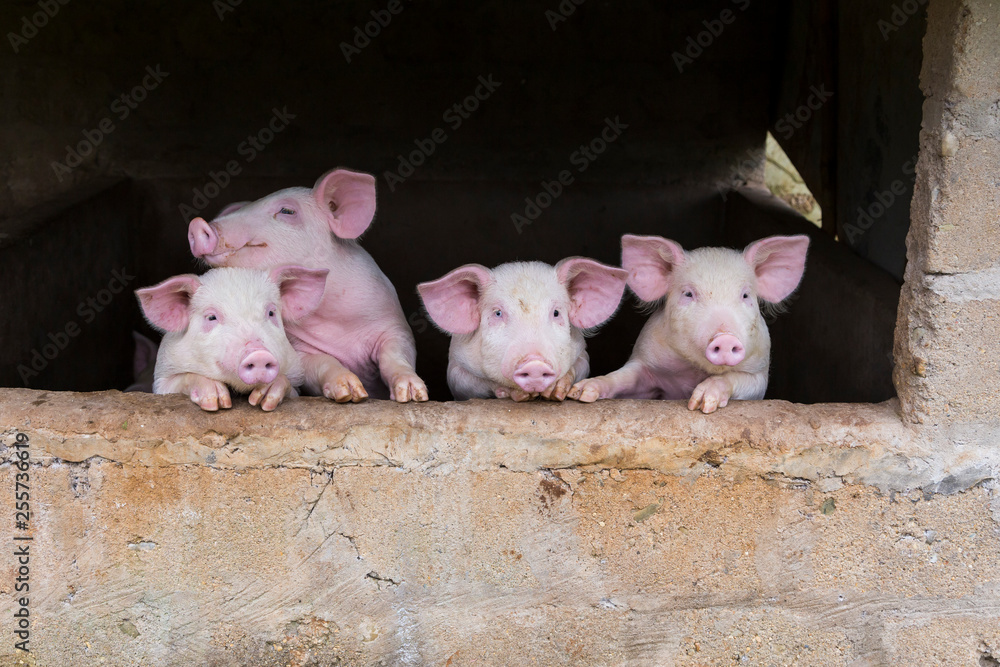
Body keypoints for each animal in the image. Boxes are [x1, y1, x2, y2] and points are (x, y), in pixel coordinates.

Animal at [135, 265, 328, 412]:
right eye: (211, 317)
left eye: (271, 313)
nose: (258, 354)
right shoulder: (163, 375)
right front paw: (215, 401)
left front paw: (263, 397)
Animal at [187, 168, 427, 403]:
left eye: (287, 211)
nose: (197, 224)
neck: (338, 324)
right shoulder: (299, 349)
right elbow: (321, 363)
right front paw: (349, 392)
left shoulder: (395, 325)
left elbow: (395, 355)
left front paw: (413, 394)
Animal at [417, 259, 628, 401]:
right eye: (498, 313)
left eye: (556, 312)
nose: (535, 364)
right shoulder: (455, 366)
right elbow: (467, 382)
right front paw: (515, 394)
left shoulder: (581, 352)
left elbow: (580, 366)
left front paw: (555, 392)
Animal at [568, 234, 809, 413]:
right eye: (688, 294)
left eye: (745, 295)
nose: (725, 338)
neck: (693, 372)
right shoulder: (645, 362)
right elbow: (624, 377)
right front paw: (581, 393)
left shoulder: (759, 372)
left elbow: (739, 379)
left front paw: (702, 402)